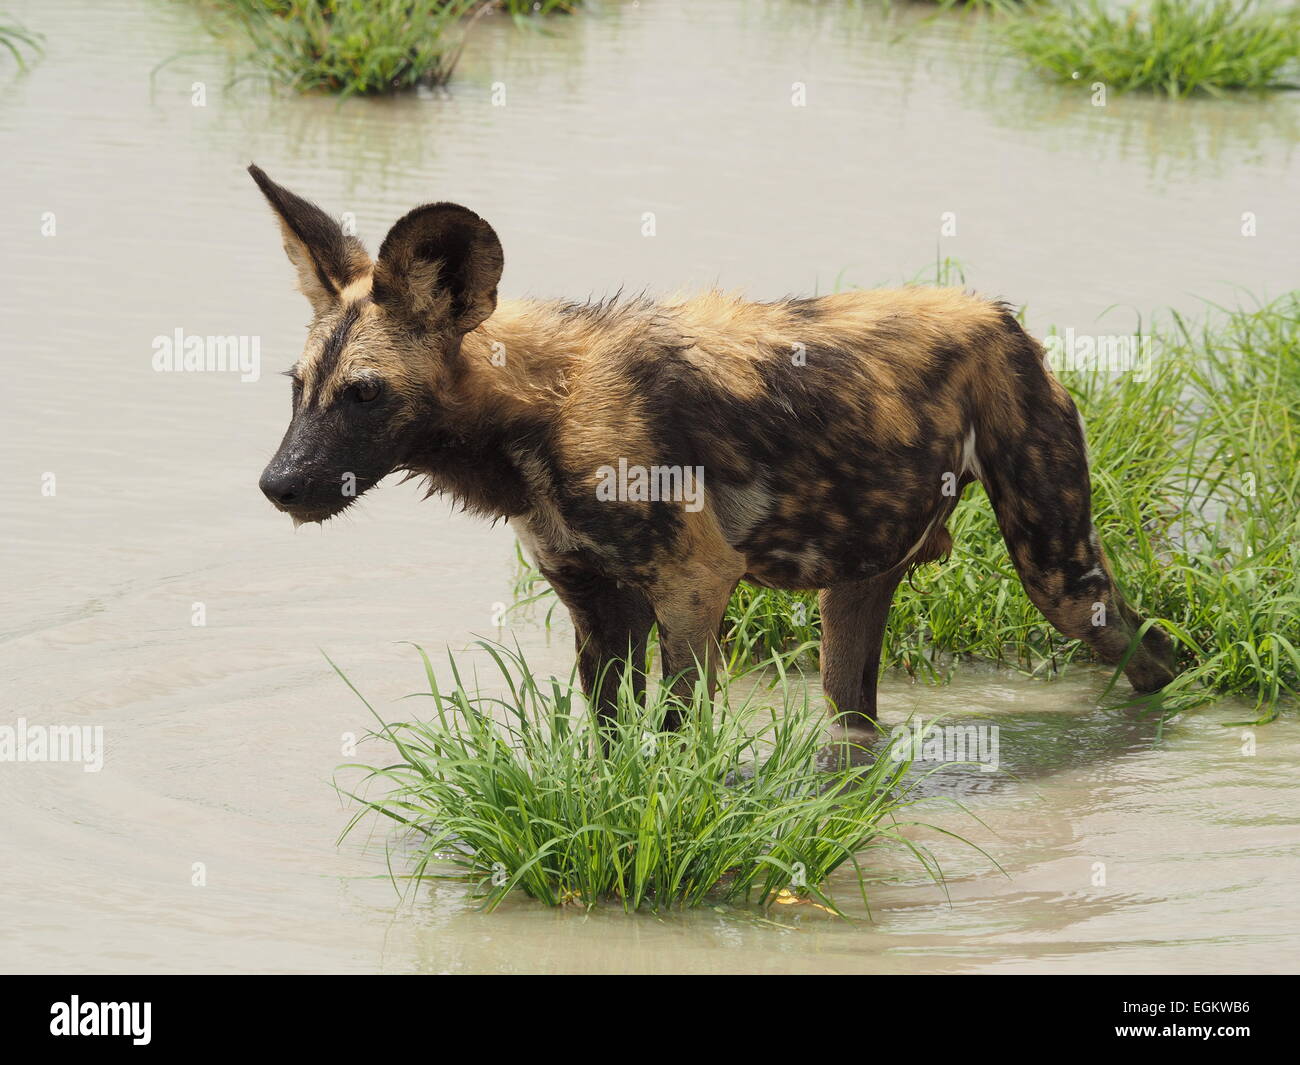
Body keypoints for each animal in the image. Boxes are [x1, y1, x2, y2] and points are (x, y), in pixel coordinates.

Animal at [249, 165, 1177, 731]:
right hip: (857, 591)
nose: (278, 485)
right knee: (854, 723)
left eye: (365, 394)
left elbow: (674, 736)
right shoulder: (597, 605)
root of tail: (1001, 316)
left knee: (1156, 653)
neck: (542, 411)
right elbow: (611, 745)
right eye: (296, 388)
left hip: (1061, 576)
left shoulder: (692, 588)